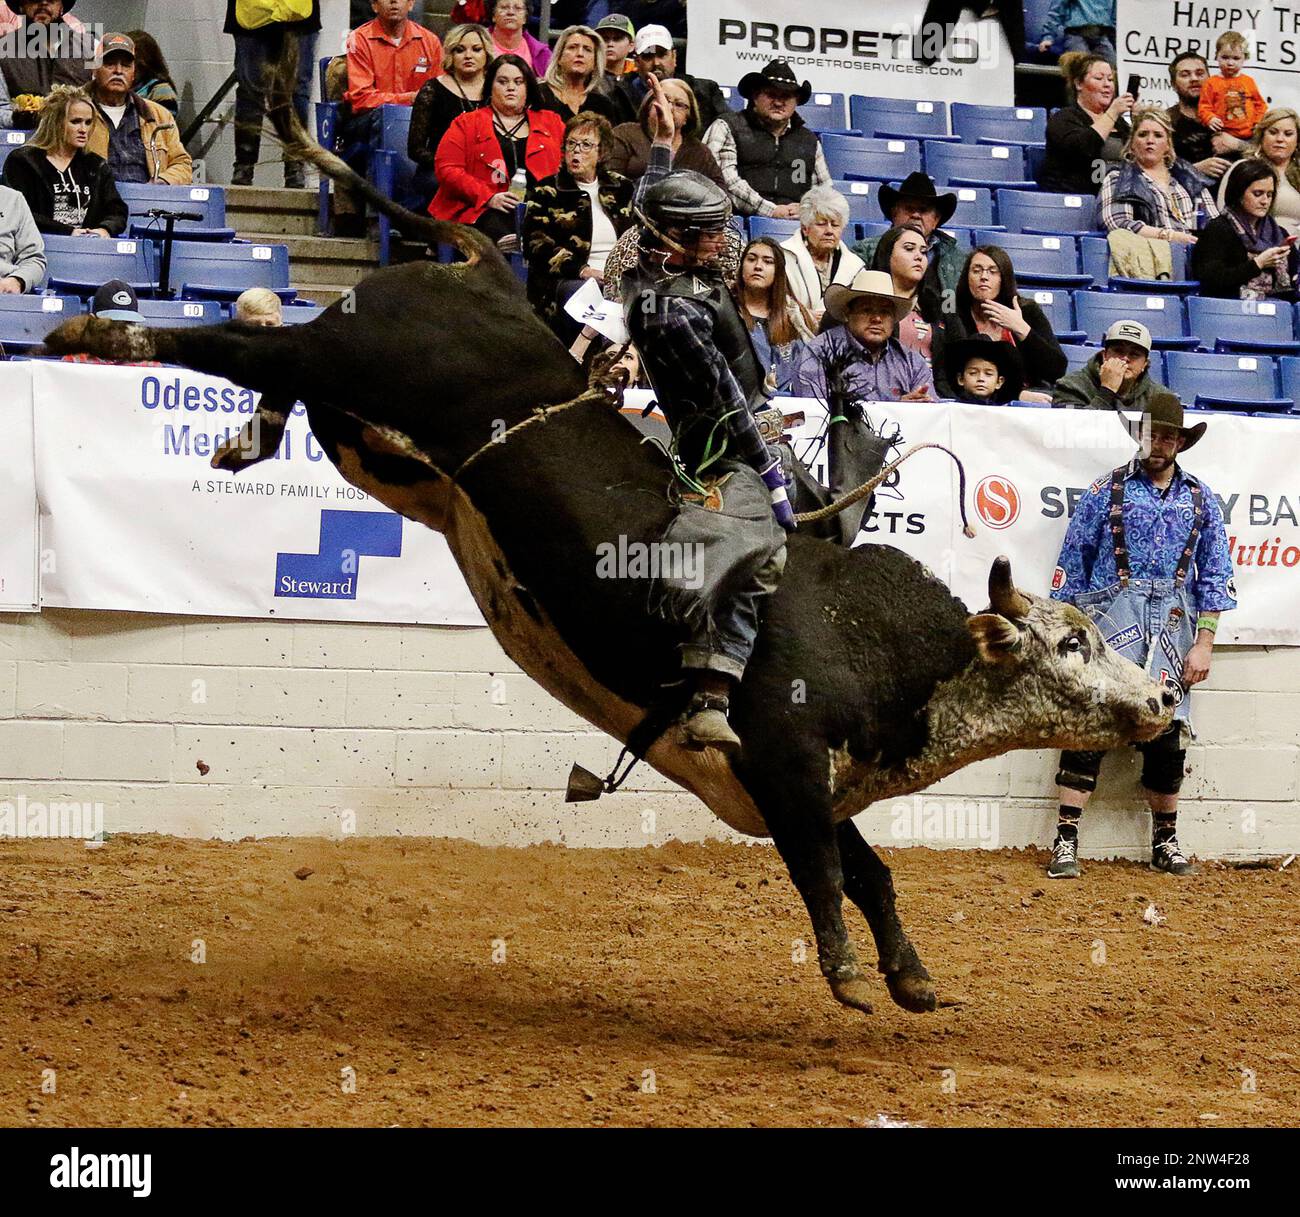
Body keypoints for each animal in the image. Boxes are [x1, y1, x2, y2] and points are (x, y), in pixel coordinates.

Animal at [40, 106, 1176, 1019]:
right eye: (1070, 643)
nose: (1161, 698)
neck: (888, 650)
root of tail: (478, 268)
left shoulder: (805, 787)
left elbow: (872, 871)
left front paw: (912, 975)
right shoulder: (784, 765)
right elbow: (824, 872)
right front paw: (852, 974)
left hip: (377, 436)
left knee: (280, 380)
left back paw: (245, 438)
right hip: (359, 363)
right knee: (241, 346)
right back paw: (97, 327)